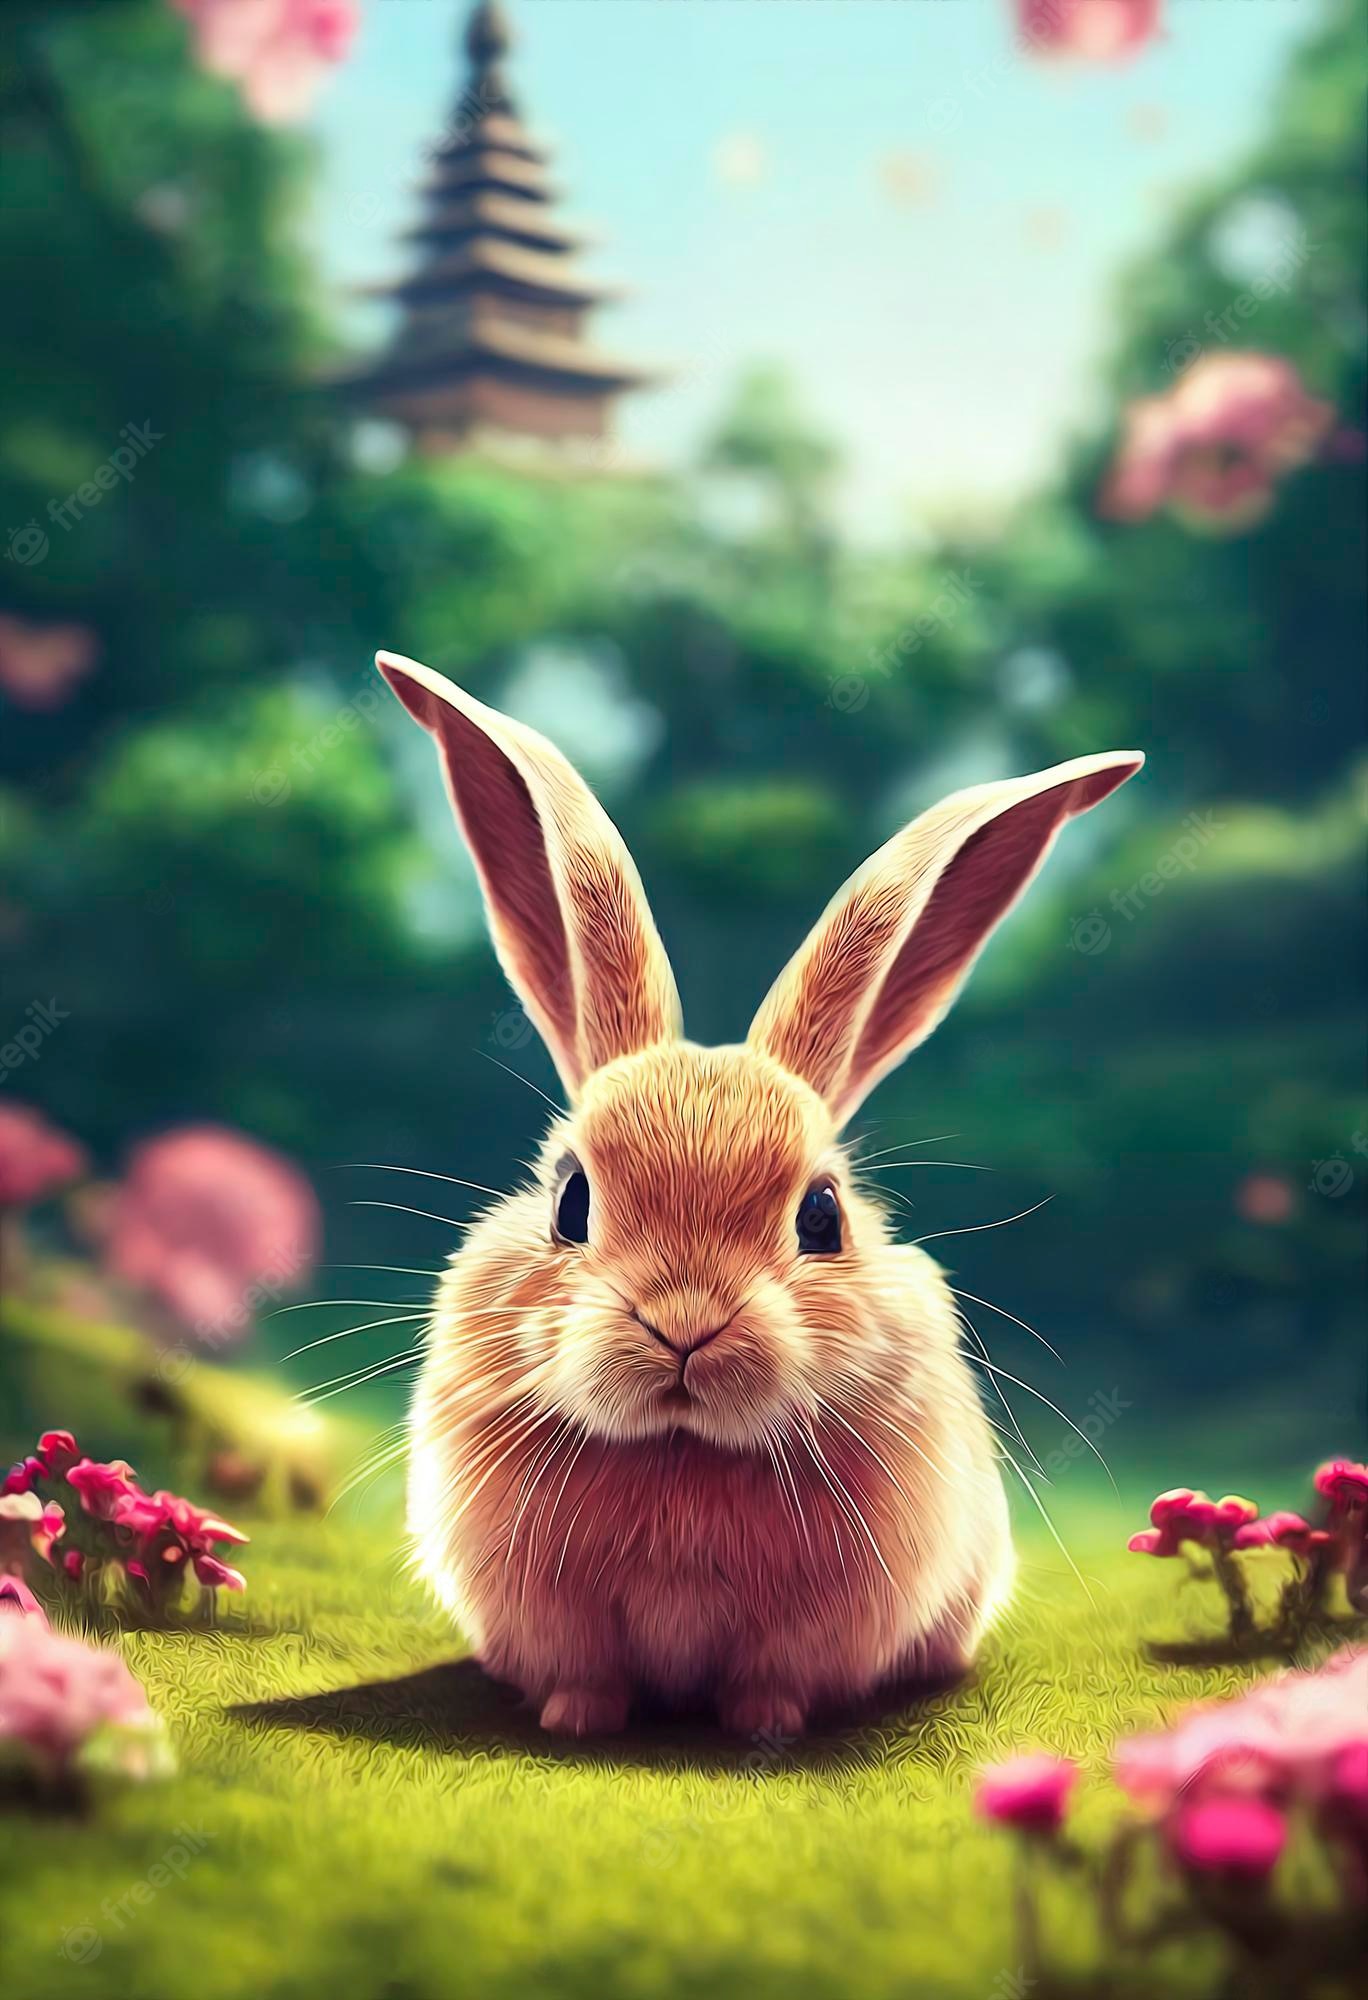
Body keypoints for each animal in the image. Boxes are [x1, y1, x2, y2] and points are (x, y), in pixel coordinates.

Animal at [378, 650, 1142, 1737]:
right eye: (571, 1202)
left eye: (823, 1216)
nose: (684, 1323)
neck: (681, 1450)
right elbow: (586, 1673)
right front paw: (576, 1719)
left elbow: (774, 1677)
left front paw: (764, 1725)